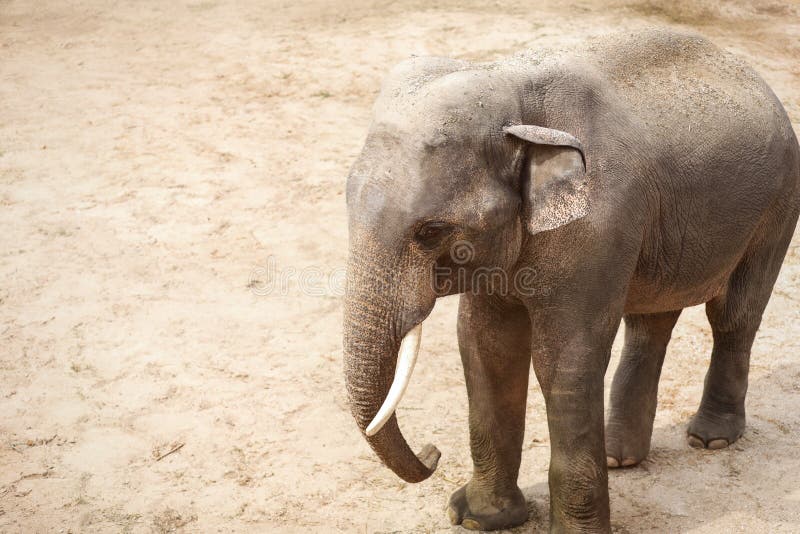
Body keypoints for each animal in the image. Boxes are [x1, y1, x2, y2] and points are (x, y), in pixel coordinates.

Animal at [343, 29, 800, 532]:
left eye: (431, 231)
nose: (433, 453)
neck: (510, 90)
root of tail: (754, 75)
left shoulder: (597, 225)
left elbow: (564, 359)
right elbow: (485, 344)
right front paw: (477, 518)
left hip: (778, 202)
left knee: (734, 313)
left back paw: (710, 439)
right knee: (650, 321)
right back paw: (620, 458)